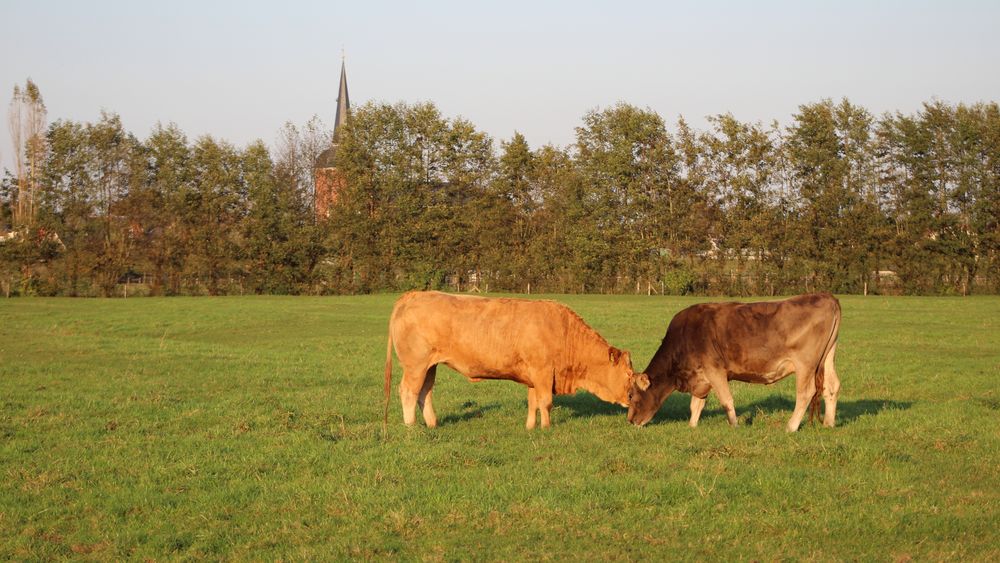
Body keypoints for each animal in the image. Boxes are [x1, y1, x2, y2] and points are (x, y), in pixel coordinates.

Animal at [383, 291, 636, 430]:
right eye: (628, 374)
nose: (631, 399)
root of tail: (413, 295)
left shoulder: (535, 376)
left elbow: (534, 402)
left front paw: (531, 427)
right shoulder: (543, 371)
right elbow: (546, 402)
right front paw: (546, 427)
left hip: (429, 366)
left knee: (424, 393)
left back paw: (432, 423)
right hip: (415, 365)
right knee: (409, 391)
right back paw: (411, 426)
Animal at [627, 293, 841, 432]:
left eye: (631, 396)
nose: (630, 421)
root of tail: (826, 296)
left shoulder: (714, 369)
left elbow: (726, 400)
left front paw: (734, 425)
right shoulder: (702, 376)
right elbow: (696, 404)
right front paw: (692, 426)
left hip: (805, 364)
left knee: (806, 392)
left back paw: (791, 426)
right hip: (827, 357)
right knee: (832, 386)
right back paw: (828, 423)